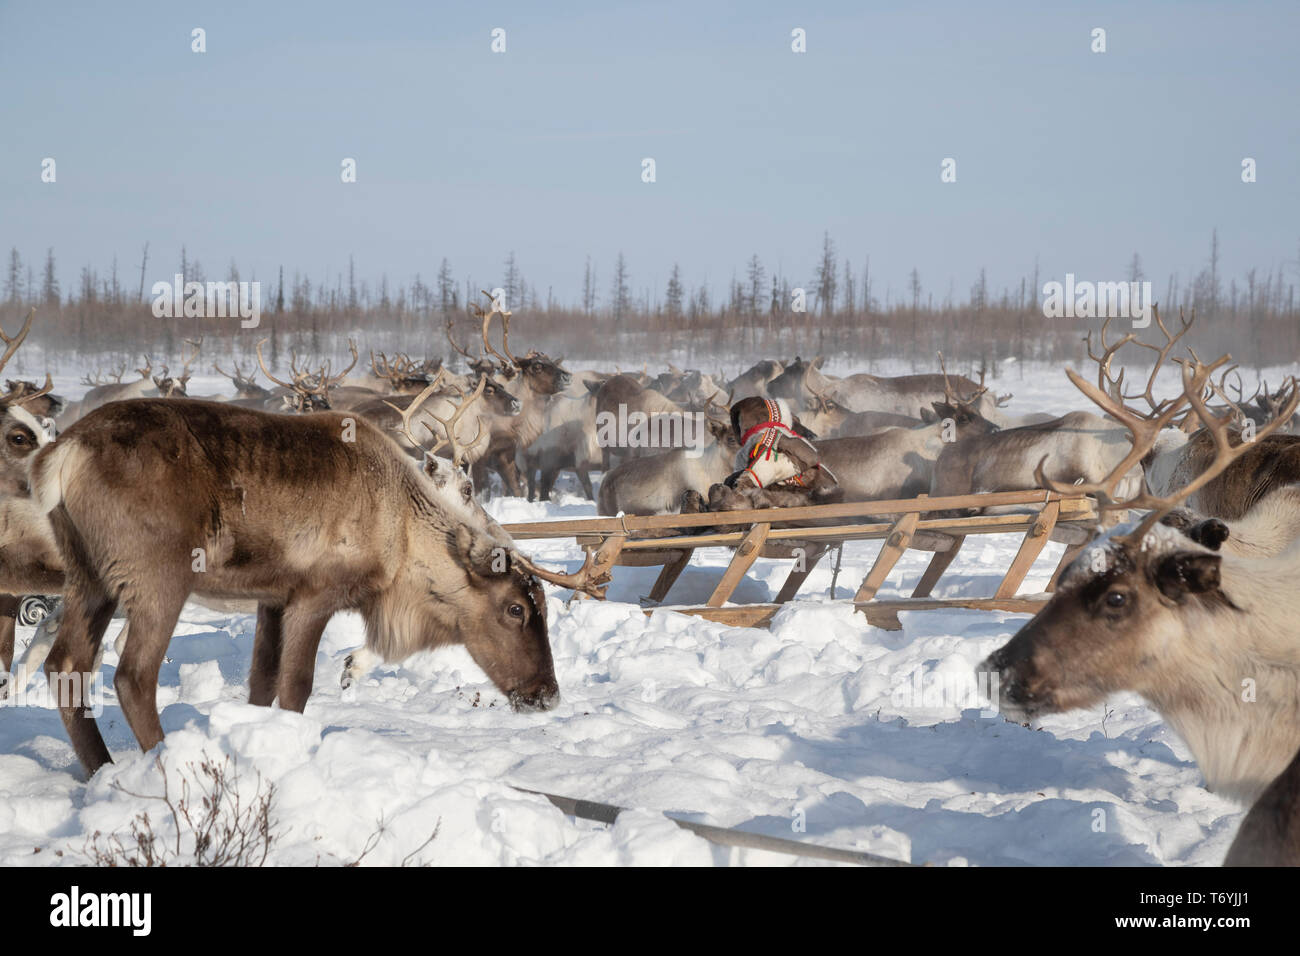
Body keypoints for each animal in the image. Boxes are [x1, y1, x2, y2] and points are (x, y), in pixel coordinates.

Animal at [30, 390, 610, 777]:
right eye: (515, 608)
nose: (547, 695)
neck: (401, 534)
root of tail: (64, 452)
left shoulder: (270, 598)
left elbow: (261, 684)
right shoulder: (314, 595)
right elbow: (296, 687)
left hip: (89, 576)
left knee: (65, 664)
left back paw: (101, 770)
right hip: (157, 576)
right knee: (132, 675)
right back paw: (164, 765)